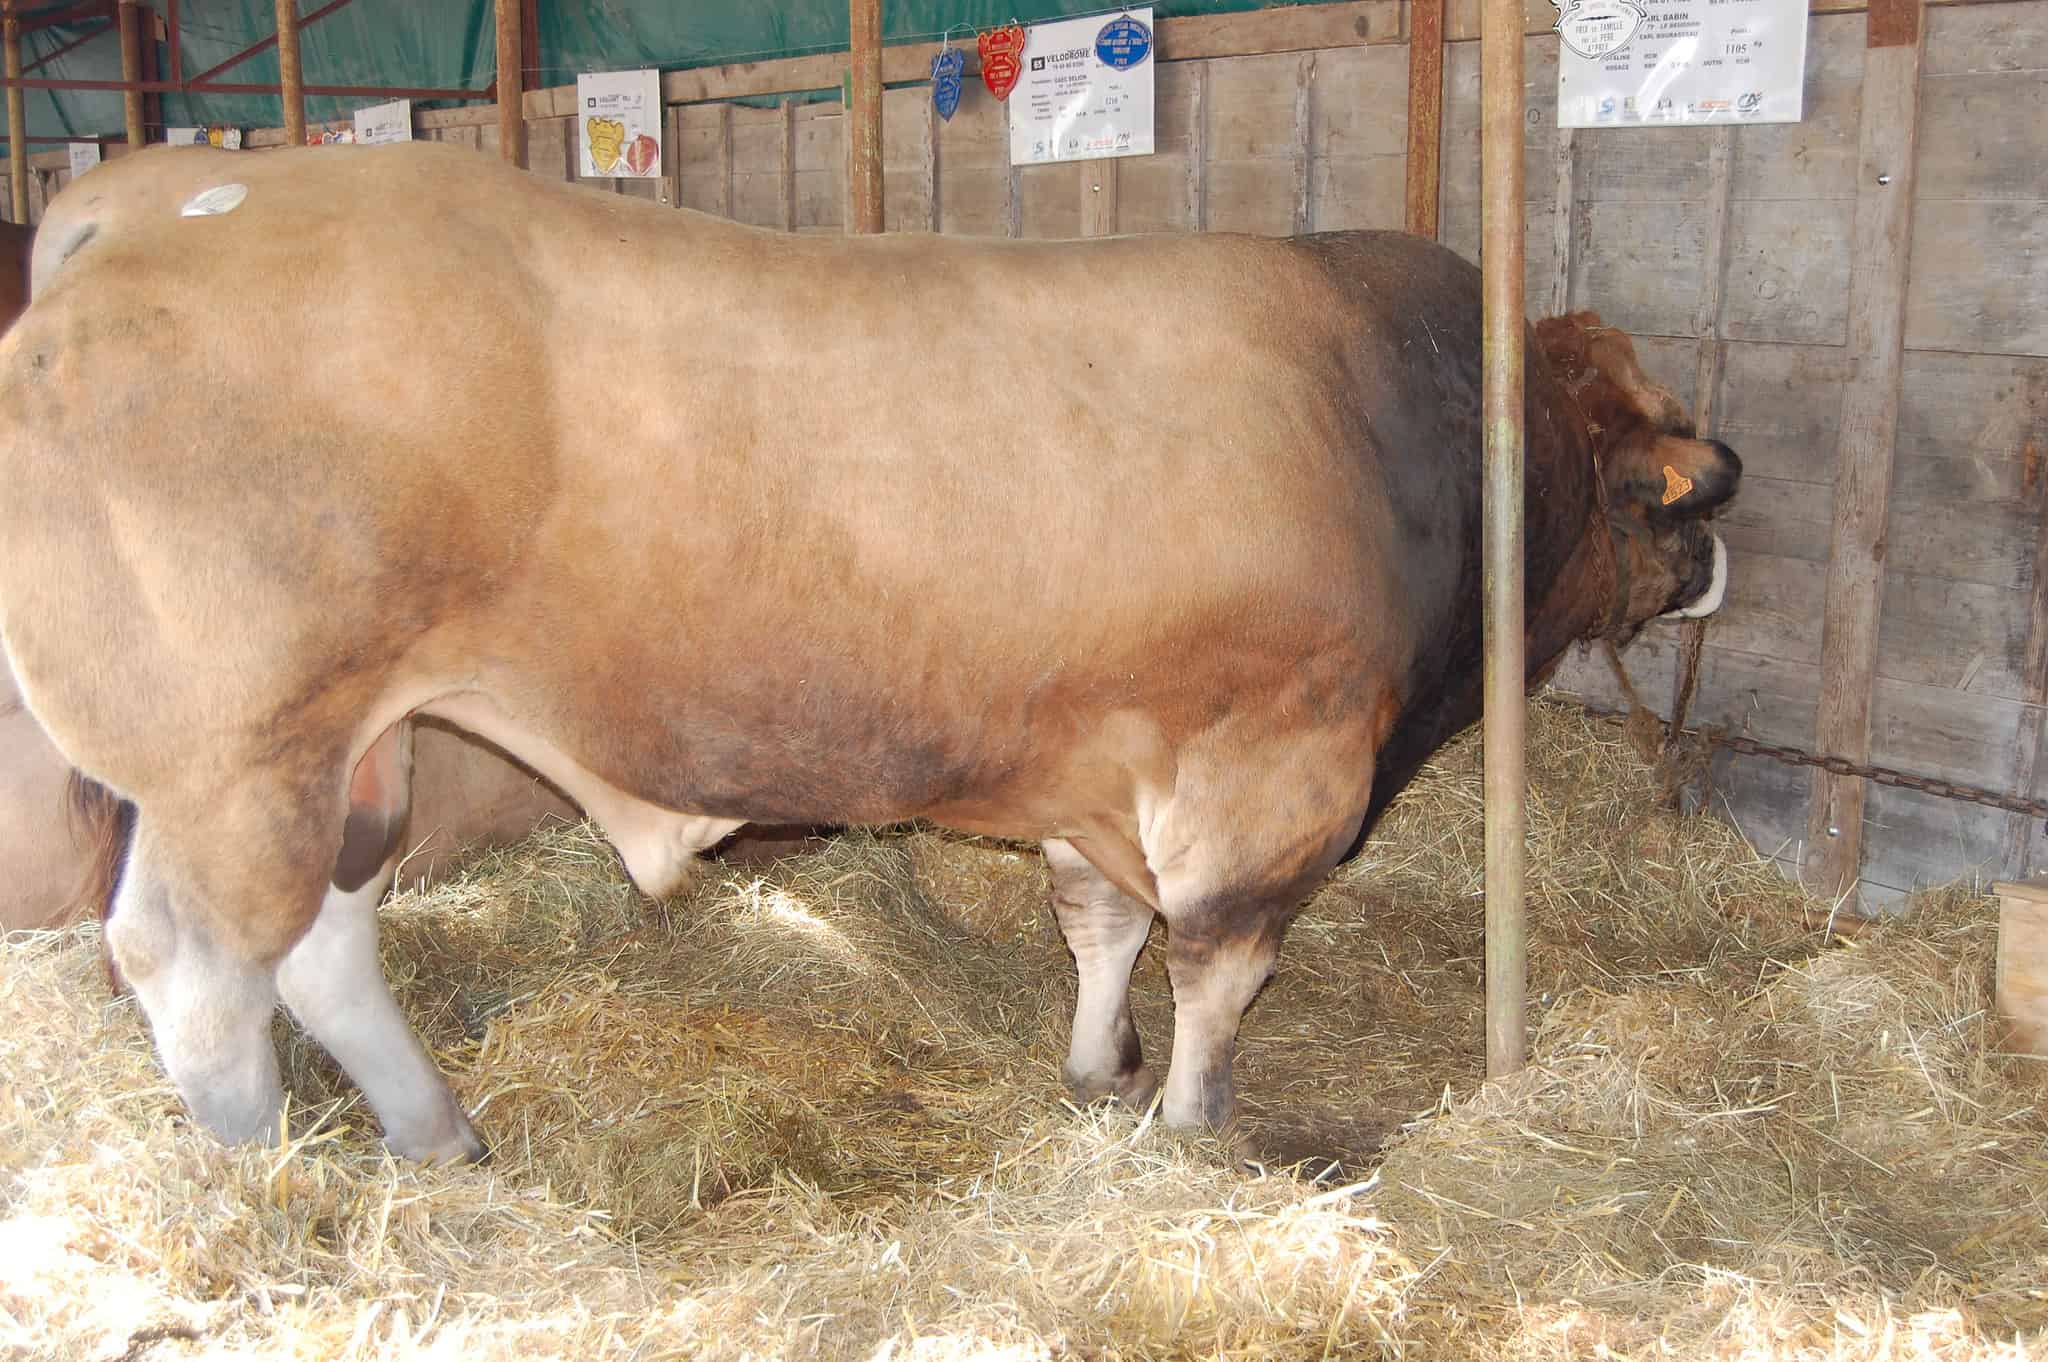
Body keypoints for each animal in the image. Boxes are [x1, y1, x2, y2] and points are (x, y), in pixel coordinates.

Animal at [0, 141, 1738, 1165]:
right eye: (1662, 476)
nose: (1718, 531)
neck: (1415, 417)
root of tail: (144, 195)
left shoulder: (1107, 738)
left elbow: (1102, 920)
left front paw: (1096, 1066)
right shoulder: (1275, 756)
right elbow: (1221, 959)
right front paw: (1193, 1128)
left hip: (354, 748)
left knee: (320, 945)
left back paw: (435, 1139)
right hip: (236, 753)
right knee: (193, 964)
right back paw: (257, 1172)